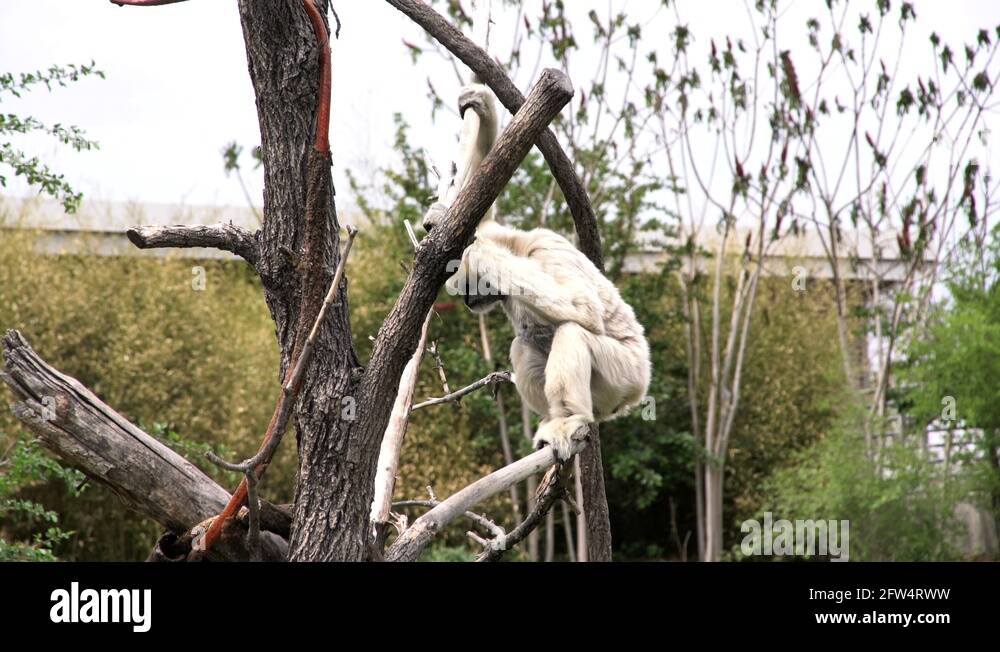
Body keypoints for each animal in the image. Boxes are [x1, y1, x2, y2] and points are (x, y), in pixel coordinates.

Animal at [424, 82, 651, 462]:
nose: (469, 303)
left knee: (573, 333)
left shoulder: (547, 250)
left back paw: (569, 420)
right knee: (525, 345)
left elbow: (585, 307)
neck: (522, 250)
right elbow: (481, 211)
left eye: (467, 287)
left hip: (626, 375)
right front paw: (480, 105)